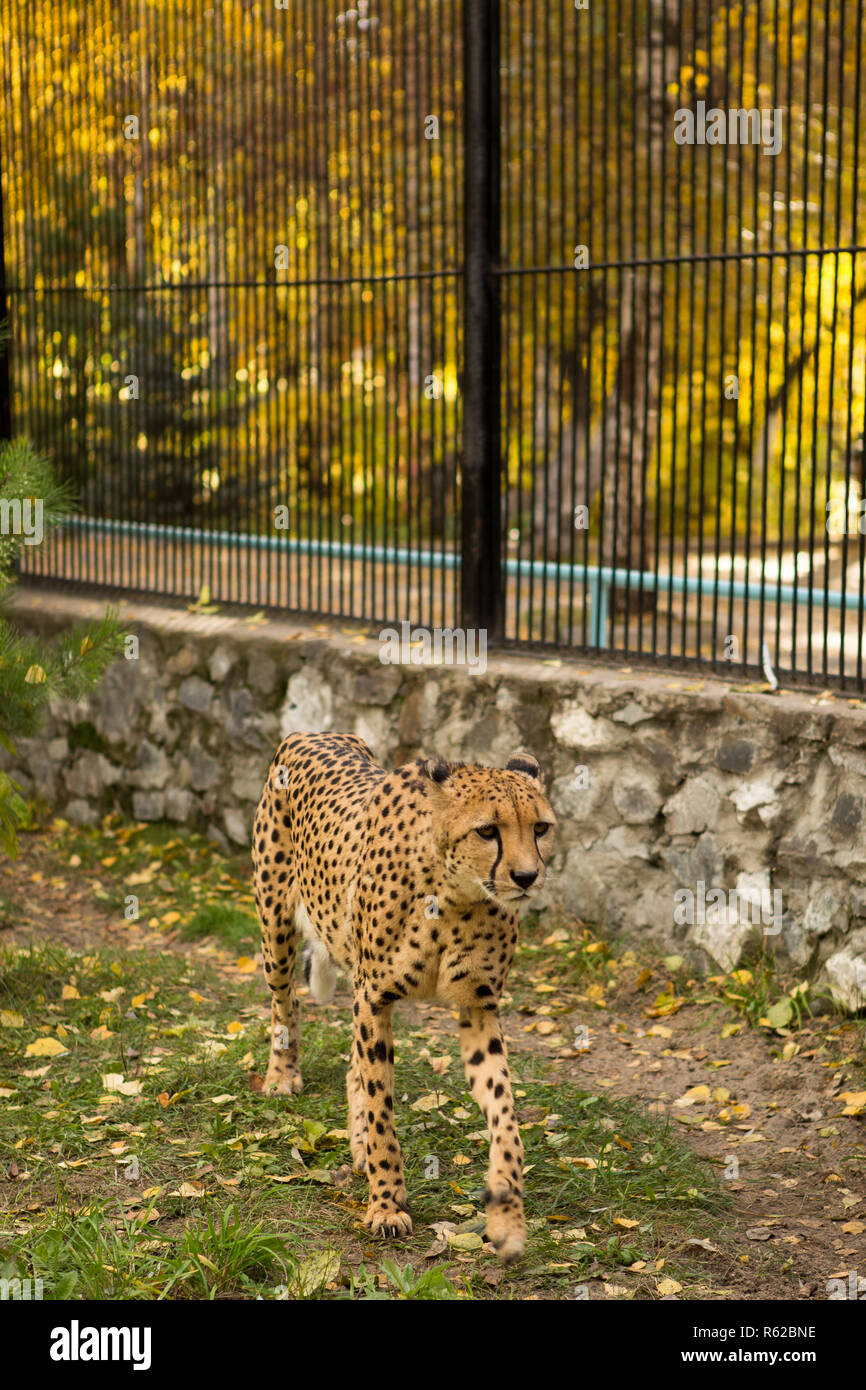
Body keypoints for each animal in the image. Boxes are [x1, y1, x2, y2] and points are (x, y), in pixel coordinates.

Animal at [251, 730, 557, 1263]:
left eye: (540, 827)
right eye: (487, 831)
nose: (526, 877)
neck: (456, 896)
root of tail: (310, 733)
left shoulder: (478, 1007)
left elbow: (505, 1115)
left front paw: (506, 1218)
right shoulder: (374, 997)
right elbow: (381, 1109)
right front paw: (387, 1206)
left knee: (351, 1063)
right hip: (277, 930)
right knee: (285, 1005)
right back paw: (283, 1076)